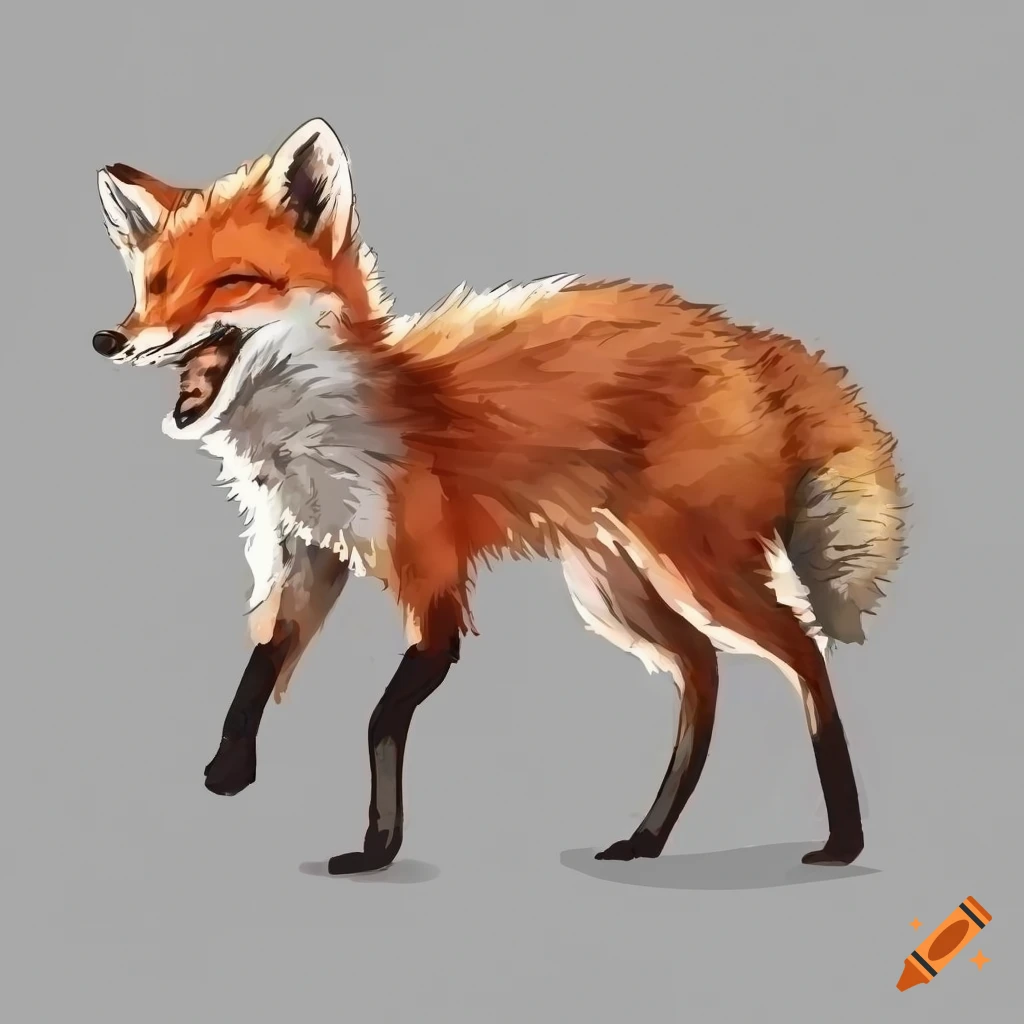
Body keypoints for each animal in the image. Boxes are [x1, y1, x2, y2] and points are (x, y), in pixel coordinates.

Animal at [92, 117, 908, 875]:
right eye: (152, 287)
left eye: (231, 283)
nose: (111, 340)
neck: (325, 435)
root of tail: (746, 341)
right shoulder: (307, 556)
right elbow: (262, 663)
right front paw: (231, 767)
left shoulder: (432, 585)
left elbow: (379, 721)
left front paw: (377, 847)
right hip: (614, 588)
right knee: (703, 669)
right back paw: (647, 838)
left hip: (693, 569)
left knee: (803, 650)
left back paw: (843, 838)